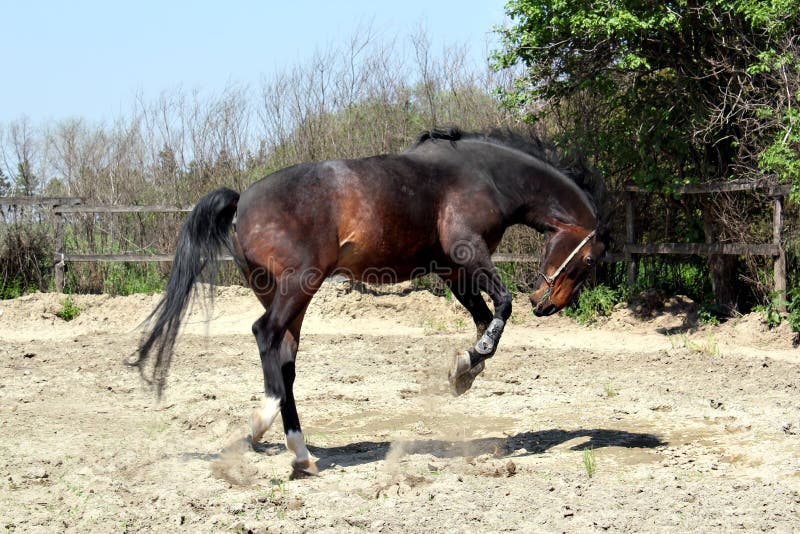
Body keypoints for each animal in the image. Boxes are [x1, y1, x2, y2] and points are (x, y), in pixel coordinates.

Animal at [132, 128, 607, 477]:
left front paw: (466, 369)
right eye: (588, 260)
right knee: (265, 335)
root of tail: (241, 200)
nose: (546, 304)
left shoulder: (451, 268)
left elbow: (483, 315)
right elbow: (502, 307)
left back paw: (300, 453)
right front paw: (473, 360)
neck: (484, 175)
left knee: (285, 359)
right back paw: (264, 422)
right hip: (298, 286)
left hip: (286, 295)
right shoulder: (467, 252)